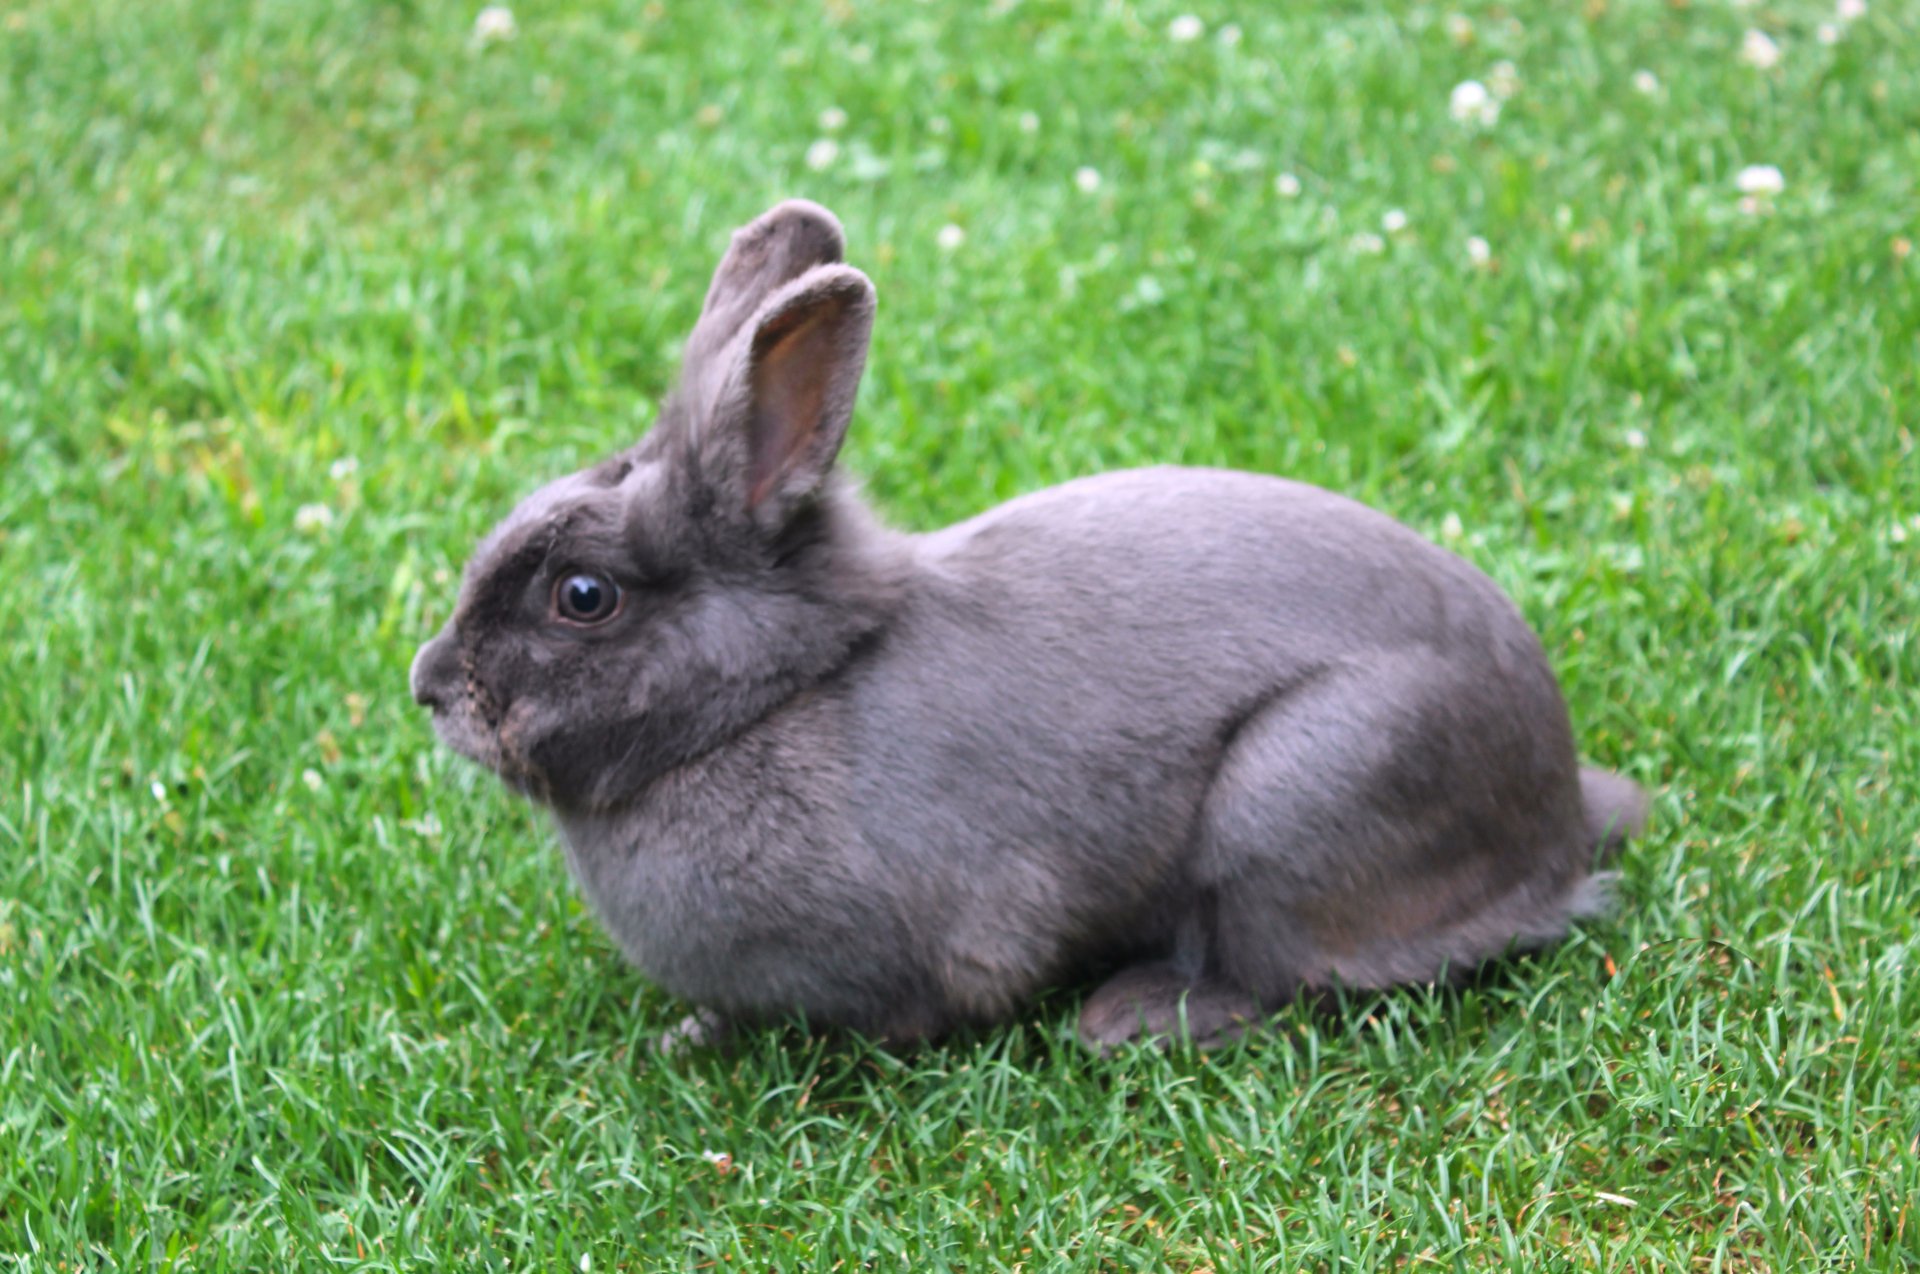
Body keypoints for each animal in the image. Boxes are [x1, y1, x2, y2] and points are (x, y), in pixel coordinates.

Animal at [410, 199, 1647, 1053]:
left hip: (1300, 799)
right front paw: (686, 1031)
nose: (429, 682)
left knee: (1286, 975)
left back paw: (1132, 1016)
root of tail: (1554, 807)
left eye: (582, 595)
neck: (780, 692)